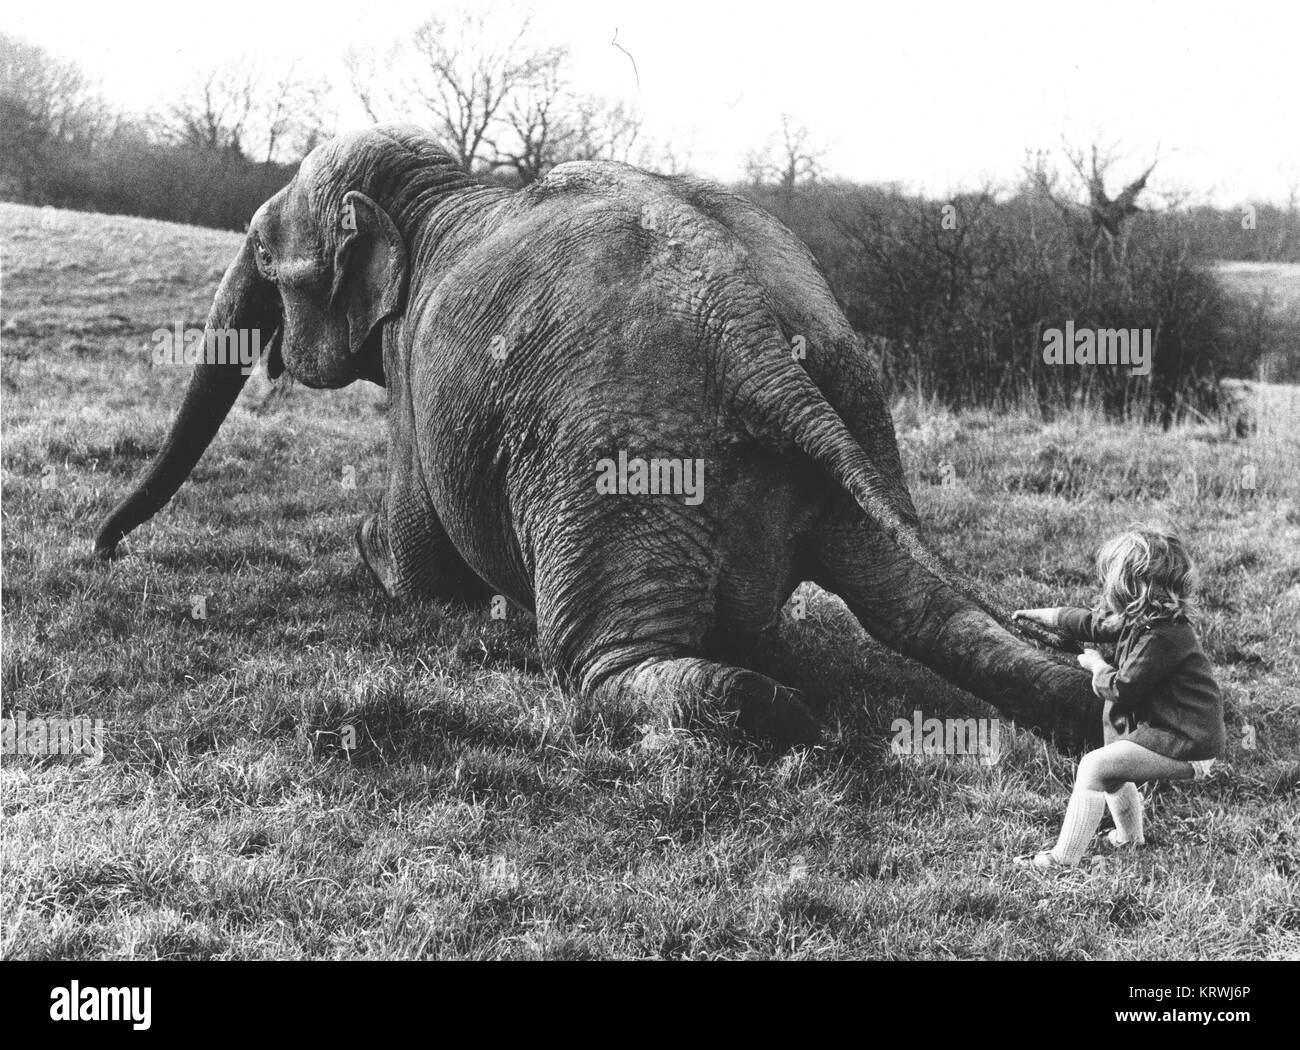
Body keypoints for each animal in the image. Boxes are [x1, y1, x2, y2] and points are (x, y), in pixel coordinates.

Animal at [95, 124, 1100, 750]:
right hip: (856, 407)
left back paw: (770, 710)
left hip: (624, 463)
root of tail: (751, 337)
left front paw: (372, 552)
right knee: (925, 614)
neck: (438, 196)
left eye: (267, 261)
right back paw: (1073, 703)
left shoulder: (418, 381)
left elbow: (421, 573)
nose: (104, 548)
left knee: (593, 661)